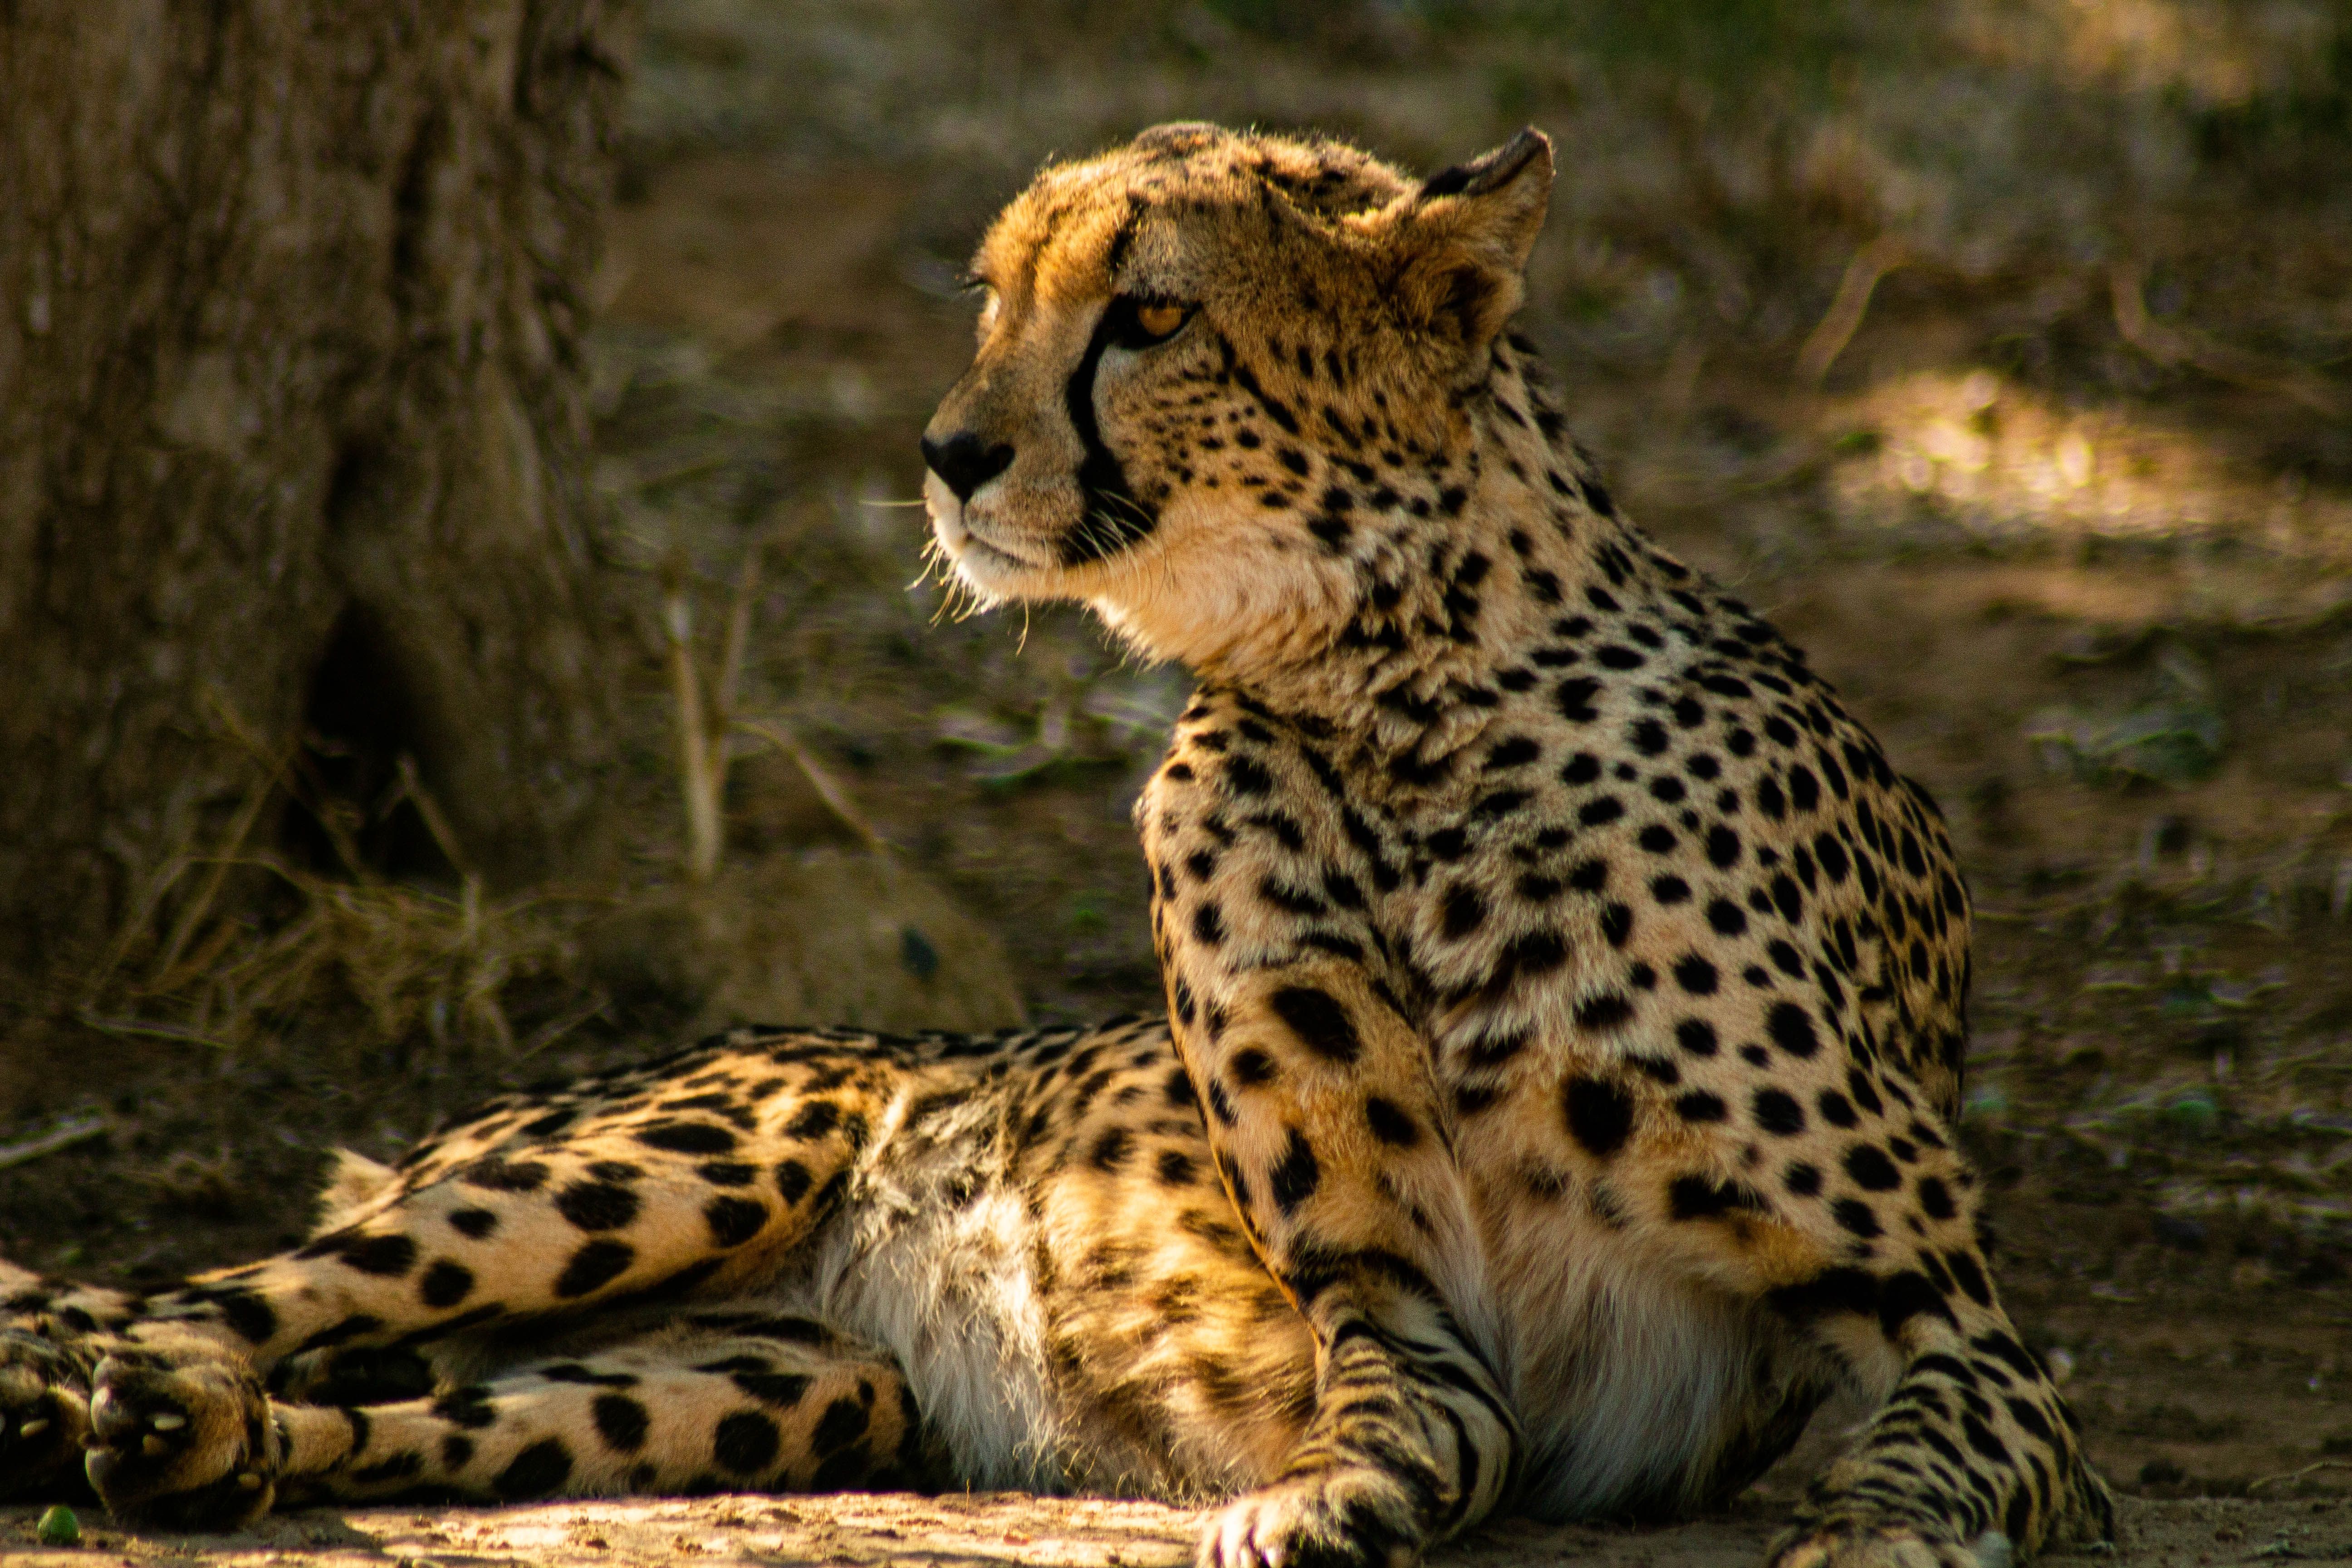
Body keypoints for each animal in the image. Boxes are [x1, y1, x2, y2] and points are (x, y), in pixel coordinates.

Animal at [0, 122, 2113, 1568]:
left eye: (1151, 315)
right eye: (997, 306)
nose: (947, 454)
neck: (1394, 706)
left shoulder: (1959, 1318)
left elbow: (1940, 1446)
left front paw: (1870, 1532)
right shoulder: (1398, 1303)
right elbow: (1426, 1408)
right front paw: (1329, 1493)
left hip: (770, 1384)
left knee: (402, 1402)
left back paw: (192, 1441)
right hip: (681, 1160)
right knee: (228, 1291)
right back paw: (102, 1387)